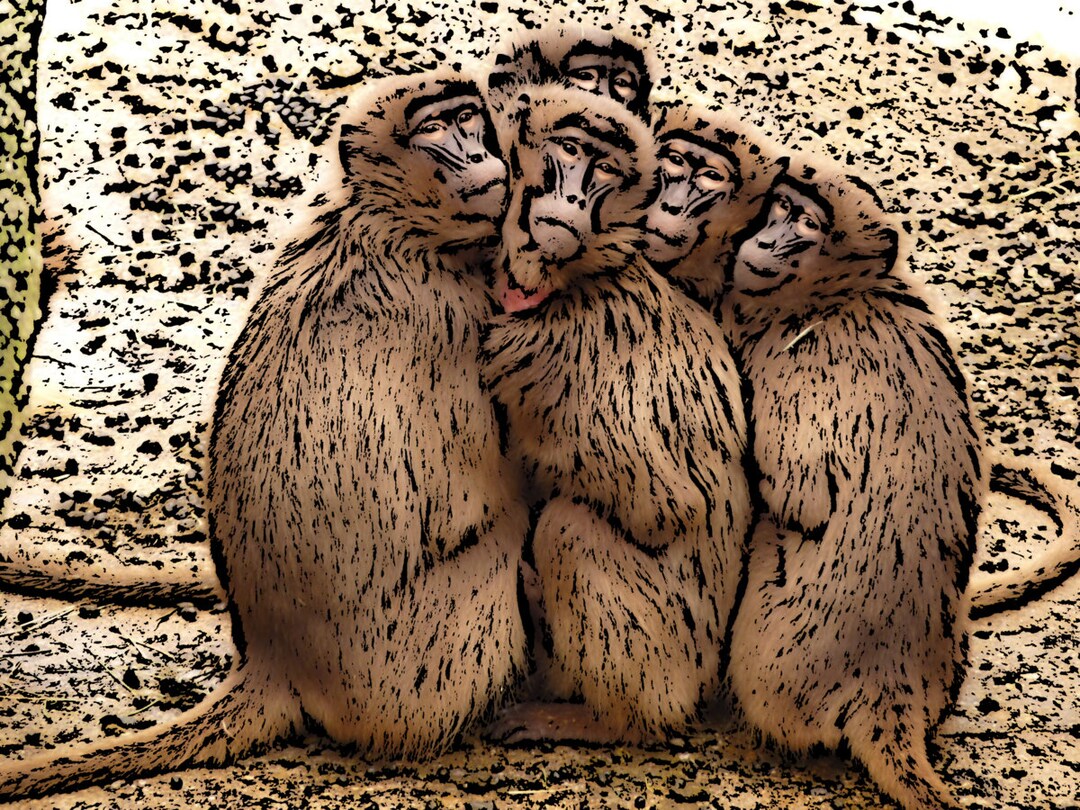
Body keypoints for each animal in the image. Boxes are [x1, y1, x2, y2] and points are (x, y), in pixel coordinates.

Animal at [0, 70, 528, 800]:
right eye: (434, 130)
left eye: (469, 121)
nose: (477, 157)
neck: (379, 224)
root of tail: (275, 655)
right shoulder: (452, 314)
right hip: (421, 670)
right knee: (510, 537)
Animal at [480, 85, 752, 744]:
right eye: (571, 150)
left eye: (604, 169)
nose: (573, 199)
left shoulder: (565, 341)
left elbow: (665, 509)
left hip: (668, 658)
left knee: (568, 529)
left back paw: (606, 719)